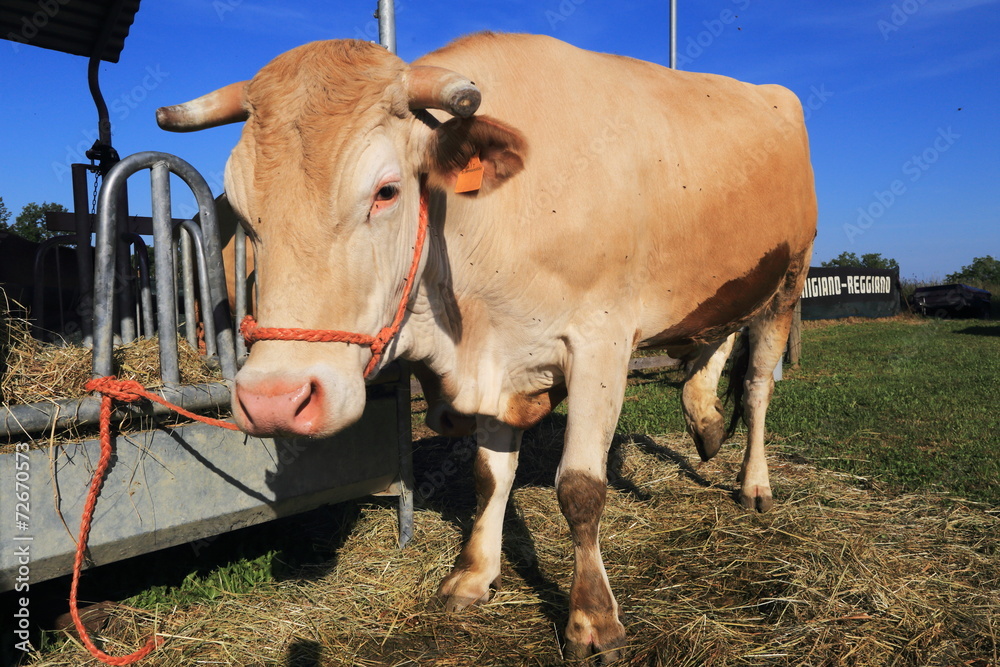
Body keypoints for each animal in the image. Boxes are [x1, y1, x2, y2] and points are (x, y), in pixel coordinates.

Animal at [157, 33, 816, 661]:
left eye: (387, 191)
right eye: (244, 214)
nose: (274, 399)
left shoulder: (600, 340)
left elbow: (580, 487)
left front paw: (592, 618)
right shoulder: (501, 362)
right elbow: (489, 474)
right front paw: (475, 575)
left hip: (788, 280)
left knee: (757, 386)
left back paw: (753, 484)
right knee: (713, 336)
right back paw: (705, 421)